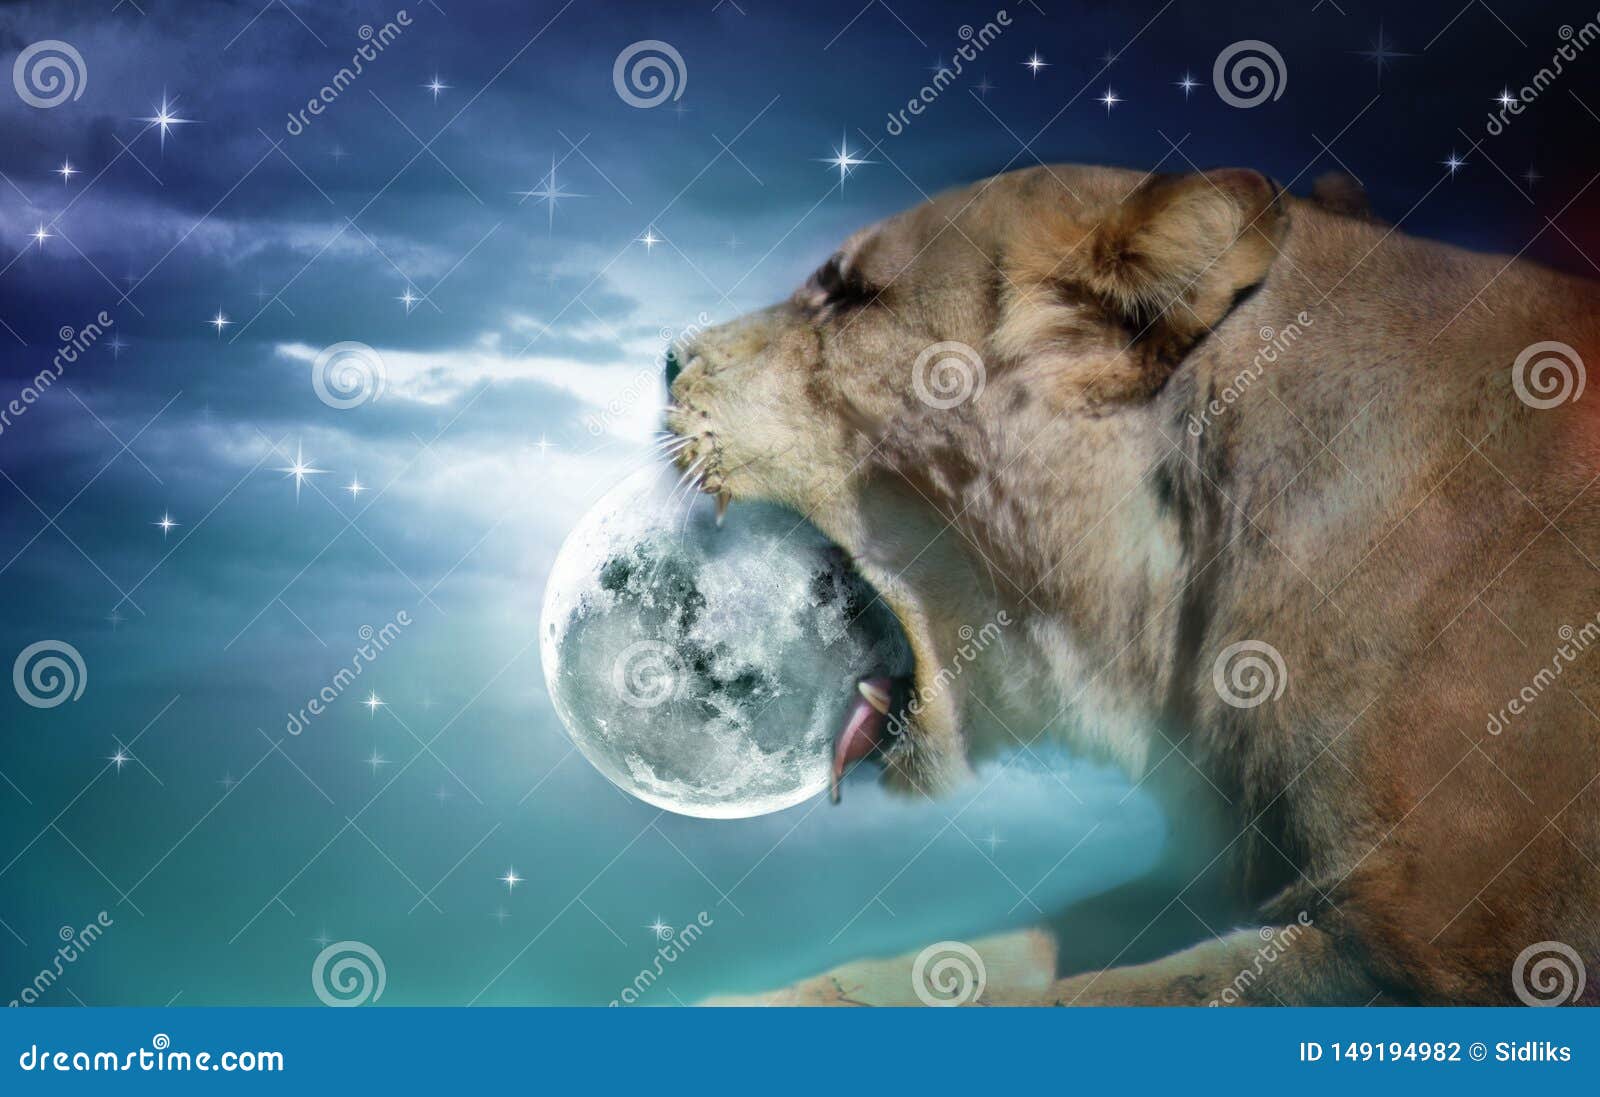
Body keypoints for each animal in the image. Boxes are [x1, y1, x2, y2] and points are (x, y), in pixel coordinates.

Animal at [665, 163, 1600, 1005]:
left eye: (852, 296)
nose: (668, 359)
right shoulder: (1211, 876)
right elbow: (945, 964)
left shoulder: (1440, 942)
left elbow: (1089, 998)